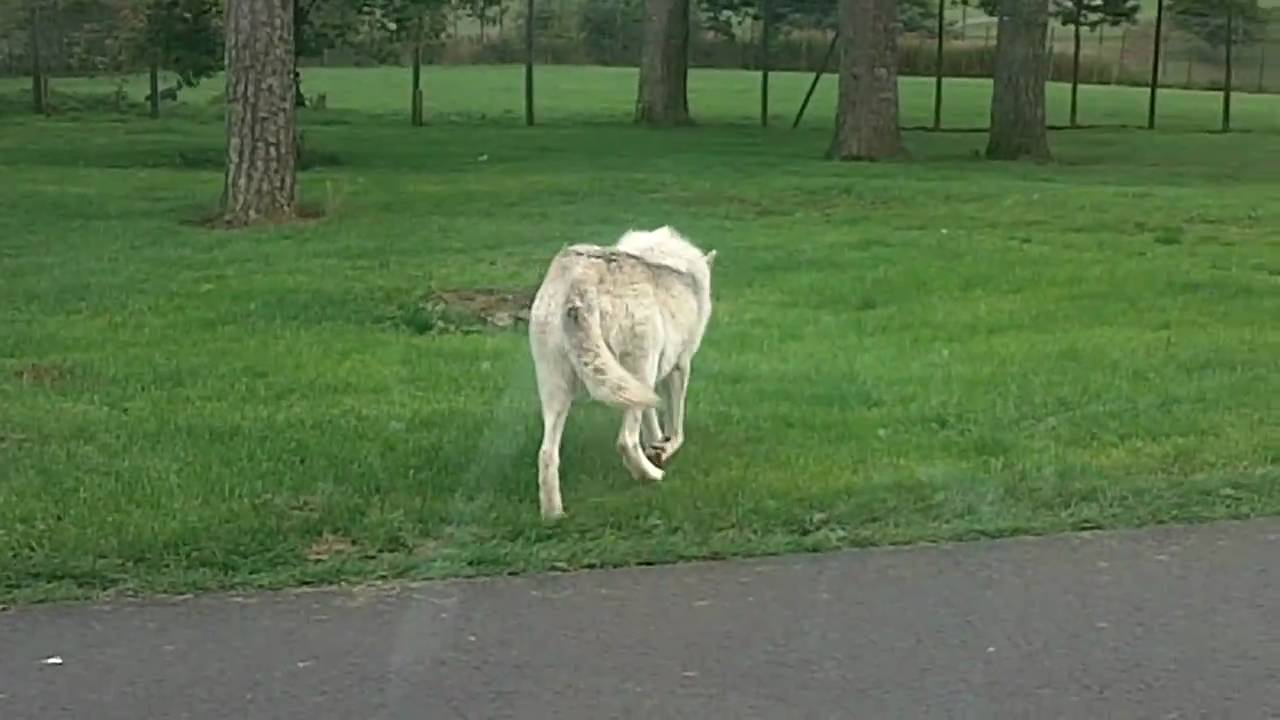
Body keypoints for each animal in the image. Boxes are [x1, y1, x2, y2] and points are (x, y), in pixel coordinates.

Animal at [528, 226, 717, 520]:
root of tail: (582, 278)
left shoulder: (645, 386)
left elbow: (652, 422)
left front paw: (655, 444)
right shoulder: (679, 367)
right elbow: (676, 429)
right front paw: (662, 450)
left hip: (558, 390)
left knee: (547, 454)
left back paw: (553, 515)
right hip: (639, 370)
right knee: (625, 441)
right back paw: (651, 475)